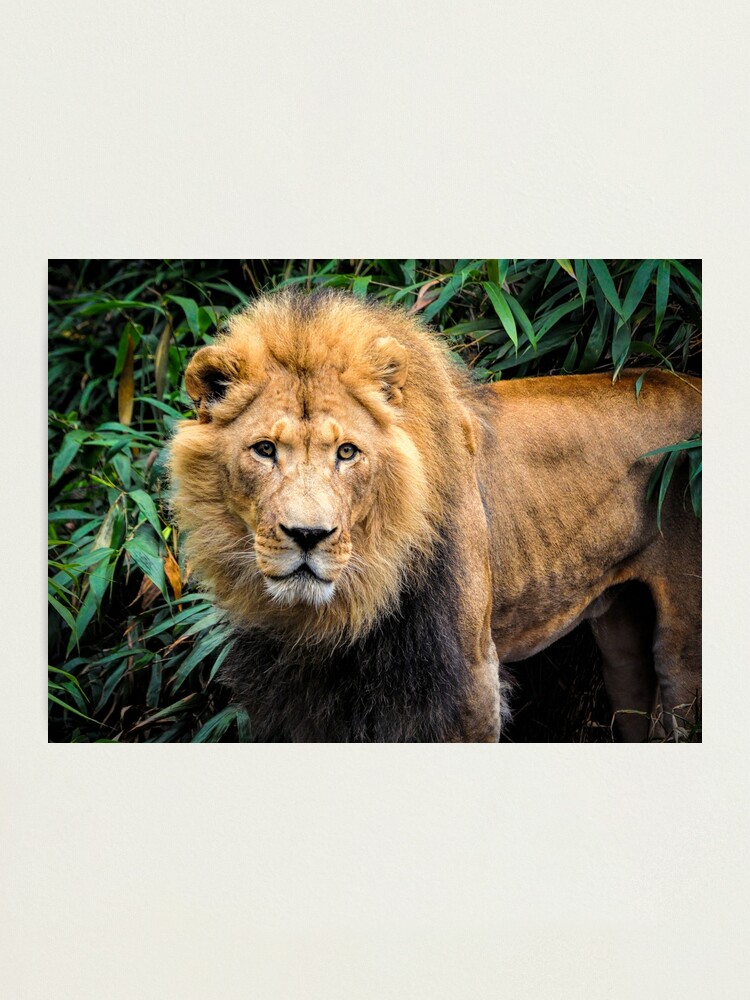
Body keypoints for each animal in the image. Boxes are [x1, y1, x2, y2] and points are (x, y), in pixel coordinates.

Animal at [168, 290, 701, 742]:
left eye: (347, 452)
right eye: (264, 450)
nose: (307, 535)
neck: (346, 609)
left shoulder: (468, 683)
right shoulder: (308, 697)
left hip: (685, 648)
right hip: (622, 634)